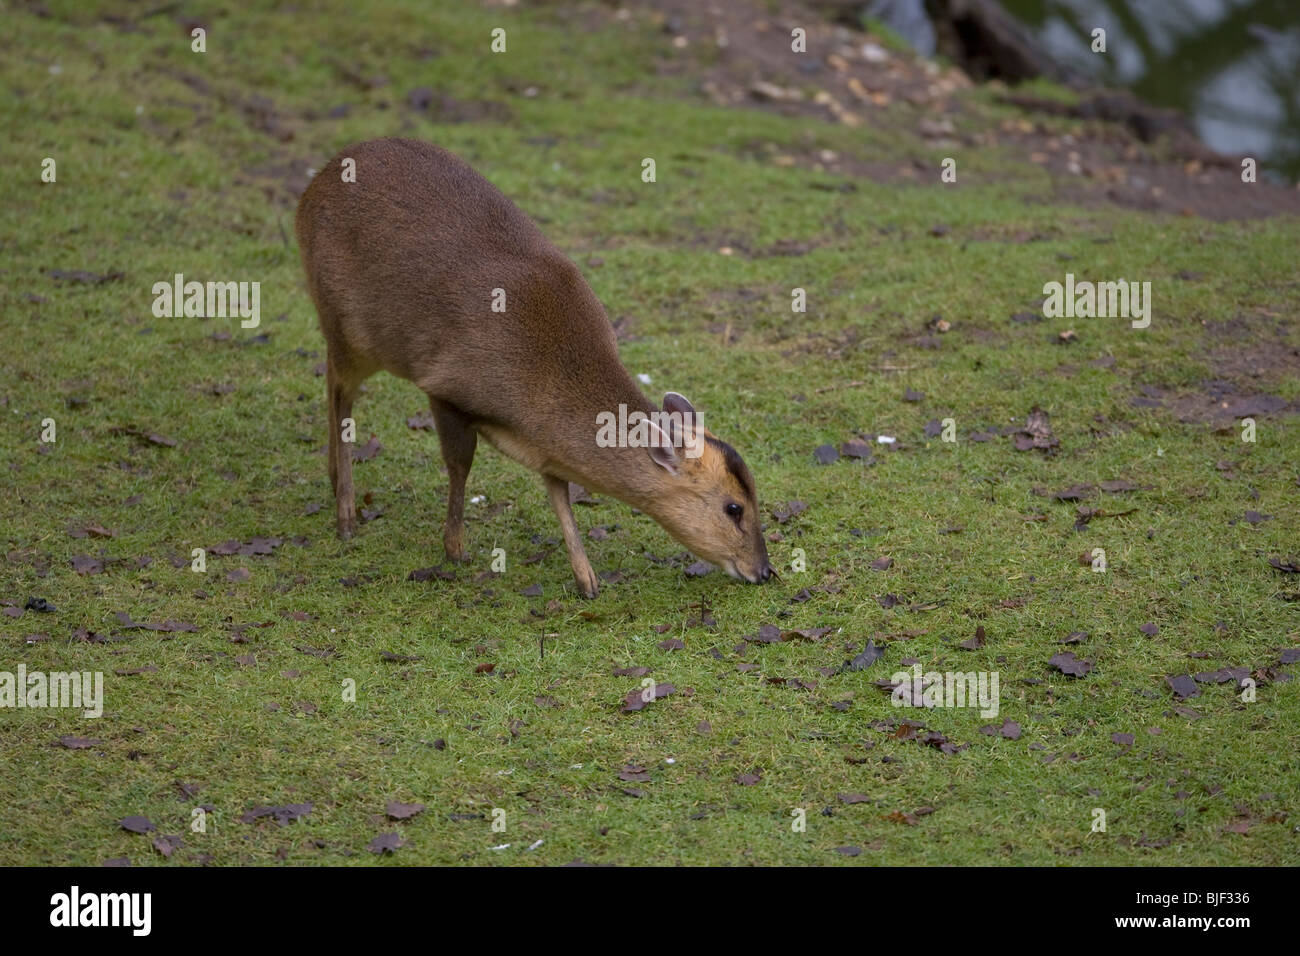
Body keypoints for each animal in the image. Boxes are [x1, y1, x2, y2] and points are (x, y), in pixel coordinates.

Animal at [295, 138, 772, 598]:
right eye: (734, 507)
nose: (764, 571)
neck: (537, 396)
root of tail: (309, 191)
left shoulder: (547, 450)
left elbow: (559, 493)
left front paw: (587, 581)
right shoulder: (446, 386)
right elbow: (460, 466)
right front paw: (455, 550)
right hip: (347, 325)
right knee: (339, 390)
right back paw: (345, 515)